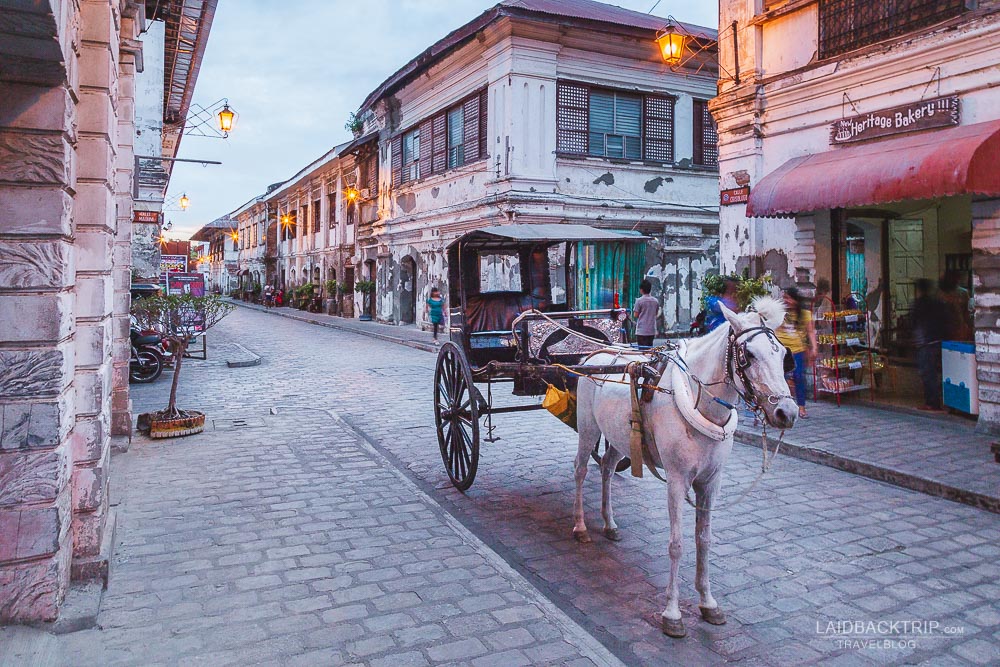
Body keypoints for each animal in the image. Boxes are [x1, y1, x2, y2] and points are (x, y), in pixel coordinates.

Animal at [572, 300, 796, 640]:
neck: (697, 401)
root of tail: (592, 354)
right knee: (581, 470)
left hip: (619, 437)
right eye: (748, 355)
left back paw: (609, 523)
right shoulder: (676, 480)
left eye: (783, 354)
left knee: (608, 467)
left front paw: (708, 603)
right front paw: (672, 613)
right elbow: (676, 545)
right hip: (587, 428)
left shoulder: (711, 482)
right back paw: (581, 527)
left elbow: (704, 539)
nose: (787, 412)